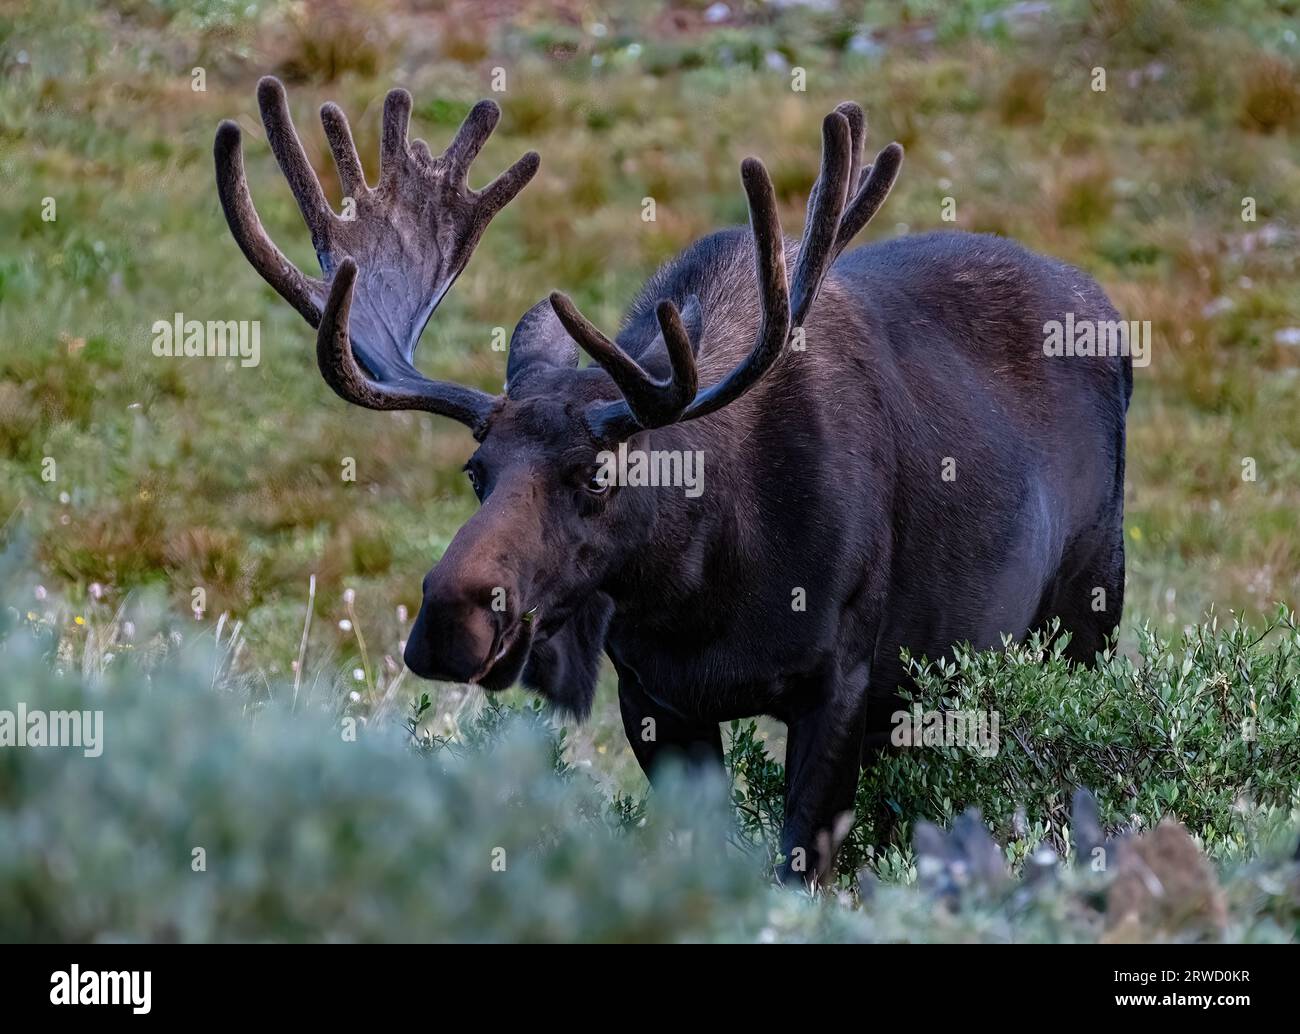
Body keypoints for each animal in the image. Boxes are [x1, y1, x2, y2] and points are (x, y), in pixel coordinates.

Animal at [215, 79, 1131, 884]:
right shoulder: (653, 697)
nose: (448, 619)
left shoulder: (843, 682)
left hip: (1089, 610)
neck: (701, 585)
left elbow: (795, 871)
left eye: (596, 474)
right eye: (476, 471)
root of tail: (1108, 310)